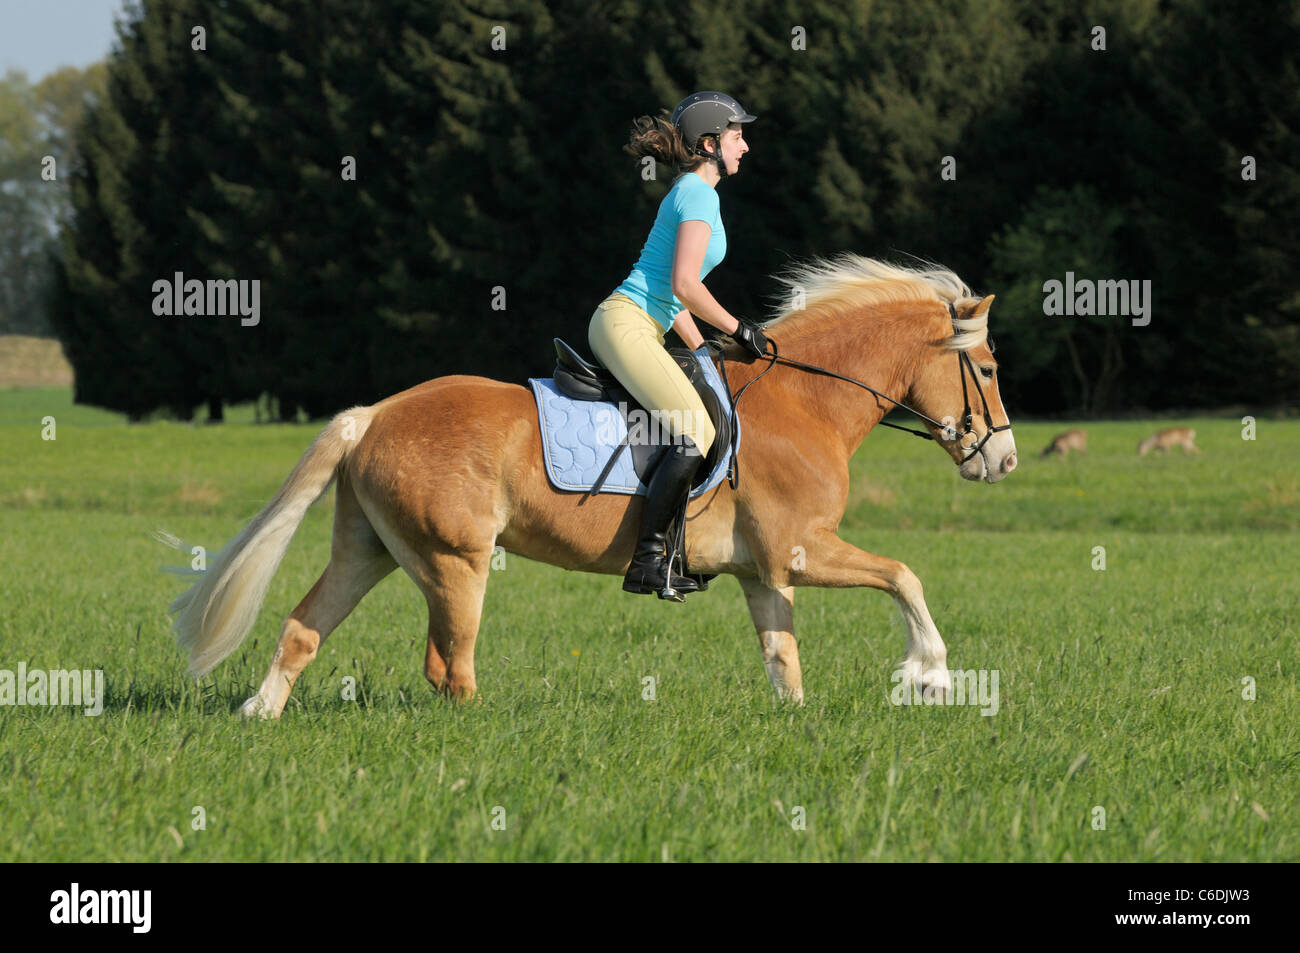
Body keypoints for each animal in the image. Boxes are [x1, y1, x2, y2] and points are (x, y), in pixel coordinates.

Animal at [163, 255, 1018, 717]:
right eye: (986, 368)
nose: (1003, 461)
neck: (807, 400)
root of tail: (373, 414)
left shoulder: (764, 571)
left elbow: (785, 662)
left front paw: (799, 721)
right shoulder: (802, 551)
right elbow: (905, 575)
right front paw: (930, 673)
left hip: (369, 548)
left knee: (304, 627)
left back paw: (258, 713)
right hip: (455, 563)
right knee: (449, 669)